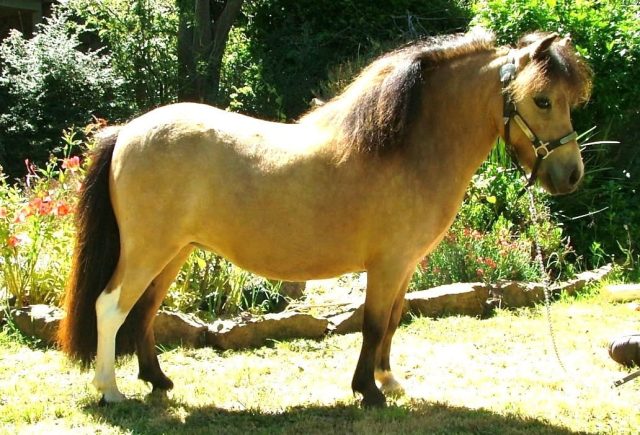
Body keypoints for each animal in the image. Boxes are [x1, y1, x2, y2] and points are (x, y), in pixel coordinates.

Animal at [57, 28, 592, 408]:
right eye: (542, 99)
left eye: (569, 100)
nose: (571, 175)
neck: (407, 149)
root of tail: (128, 131)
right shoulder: (387, 265)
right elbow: (373, 324)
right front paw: (368, 391)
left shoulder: (404, 267)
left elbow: (394, 320)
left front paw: (388, 381)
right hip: (148, 252)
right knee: (111, 307)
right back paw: (110, 390)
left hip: (173, 253)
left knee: (144, 312)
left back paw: (158, 380)